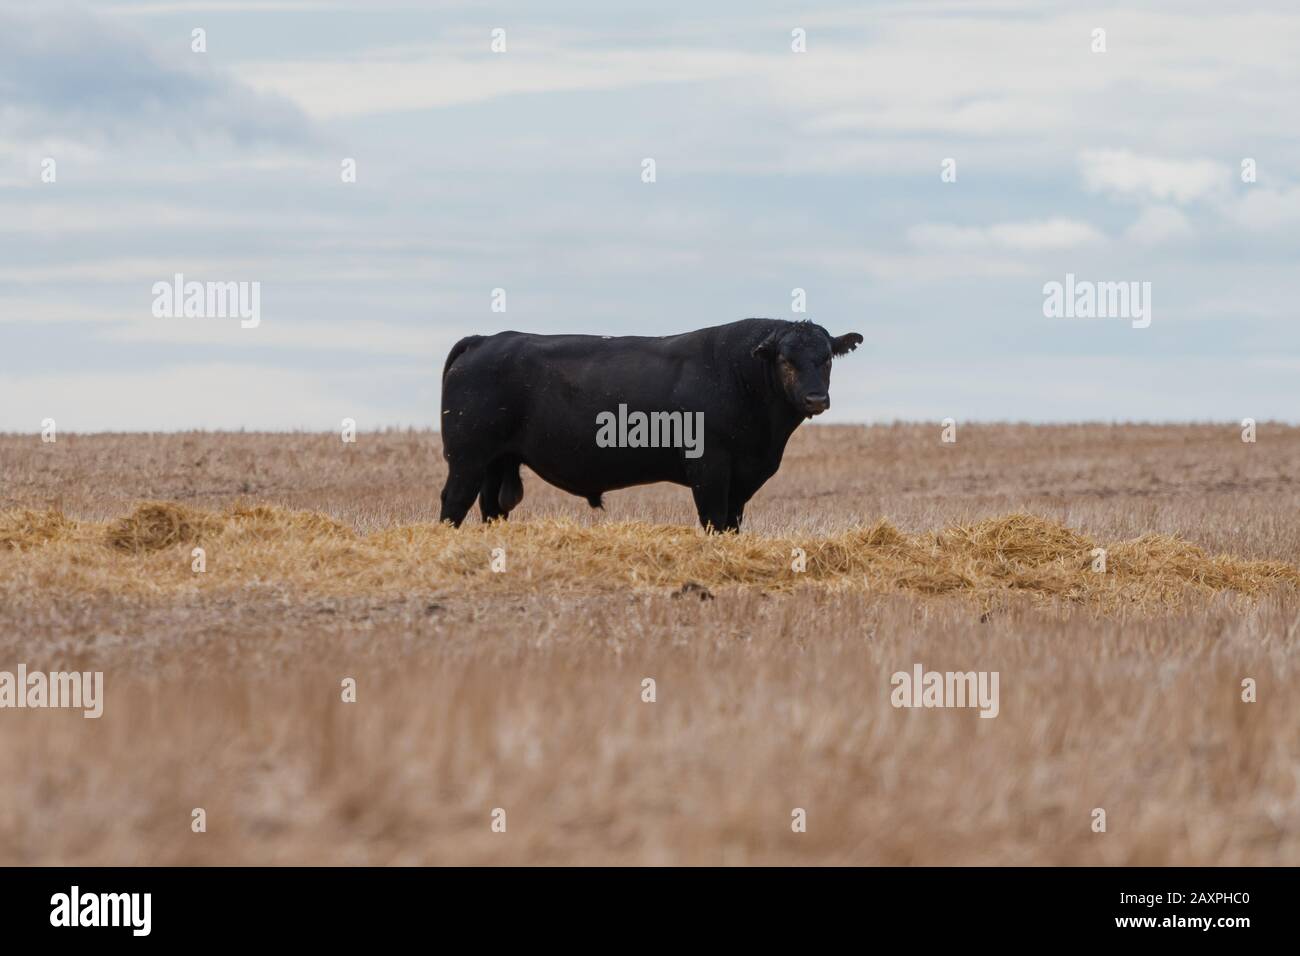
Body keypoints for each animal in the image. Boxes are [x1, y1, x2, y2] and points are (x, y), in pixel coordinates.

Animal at [438, 318, 863, 532]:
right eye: (786, 360)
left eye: (827, 358)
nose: (816, 399)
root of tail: (486, 339)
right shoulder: (709, 466)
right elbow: (714, 519)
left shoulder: (741, 478)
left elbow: (732, 522)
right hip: (467, 458)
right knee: (453, 503)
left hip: (497, 462)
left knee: (492, 507)